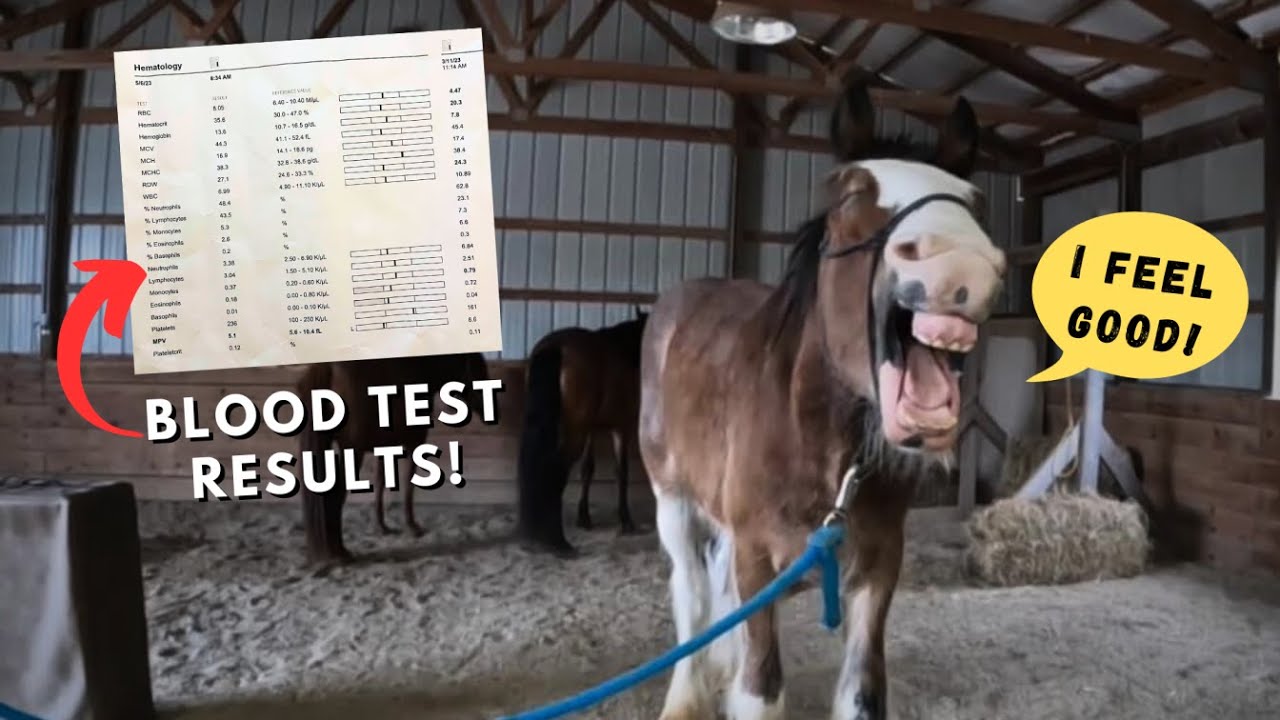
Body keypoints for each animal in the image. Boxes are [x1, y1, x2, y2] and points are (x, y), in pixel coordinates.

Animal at [298, 352, 491, 563]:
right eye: (478, 371)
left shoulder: (384, 448)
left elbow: (381, 483)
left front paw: (382, 527)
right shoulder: (414, 444)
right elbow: (408, 484)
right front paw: (412, 527)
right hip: (353, 451)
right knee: (337, 494)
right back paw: (340, 551)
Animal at [515, 309, 650, 557]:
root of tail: (555, 347)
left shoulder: (591, 429)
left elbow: (588, 470)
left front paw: (584, 518)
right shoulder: (621, 427)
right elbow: (622, 472)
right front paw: (626, 521)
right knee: (555, 471)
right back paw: (558, 542)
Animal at [638, 78, 1005, 720]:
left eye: (972, 201)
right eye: (852, 193)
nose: (959, 263)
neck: (825, 445)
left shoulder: (879, 562)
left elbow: (862, 692)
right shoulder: (757, 557)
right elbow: (760, 686)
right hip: (673, 497)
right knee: (690, 589)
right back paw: (685, 695)